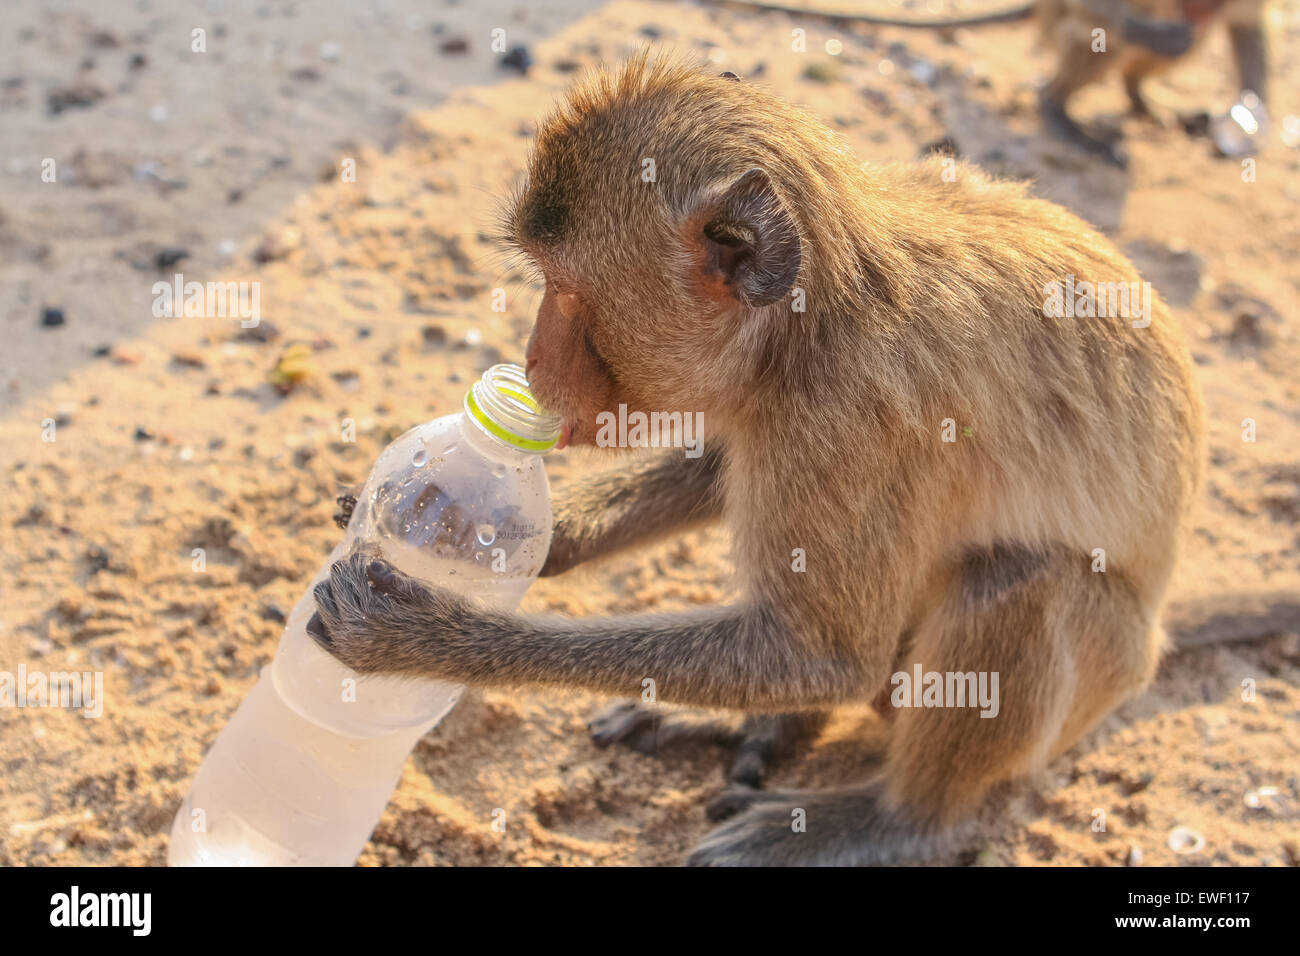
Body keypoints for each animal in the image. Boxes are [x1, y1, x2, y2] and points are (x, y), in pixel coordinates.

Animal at [306, 55, 1298, 865]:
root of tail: (1151, 644)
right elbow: (721, 469)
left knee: (1022, 582)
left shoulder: (845, 419)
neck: (816, 312)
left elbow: (826, 655)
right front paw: (506, 536)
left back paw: (895, 819)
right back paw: (763, 728)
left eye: (565, 291)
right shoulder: (773, 406)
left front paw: (433, 640)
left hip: (1097, 676)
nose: (534, 360)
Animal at [709, 0, 1271, 166]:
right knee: (1099, 39)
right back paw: (1063, 114)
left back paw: (1143, 102)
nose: (1200, 12)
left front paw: (1250, 112)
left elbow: (1248, 30)